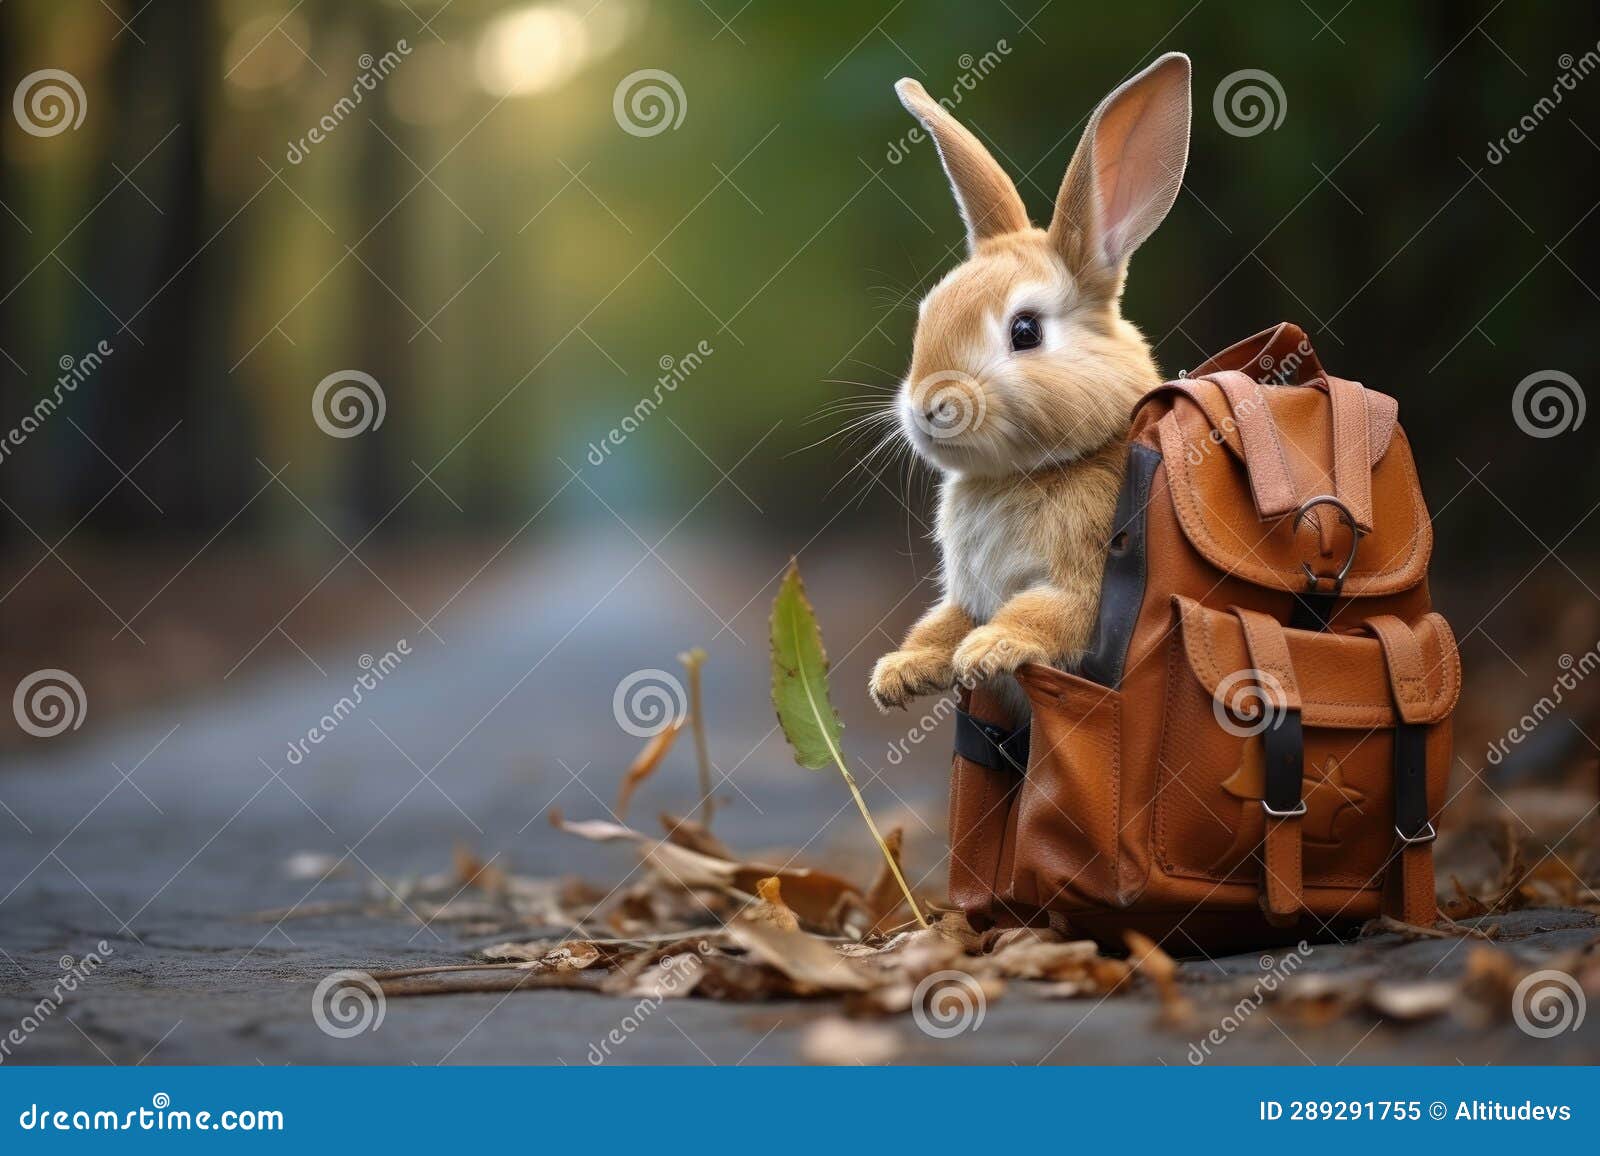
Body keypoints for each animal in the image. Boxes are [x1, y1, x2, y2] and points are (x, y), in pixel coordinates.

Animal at [868, 52, 1192, 725]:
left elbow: (1046, 612)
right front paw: (900, 674)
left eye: (1024, 330)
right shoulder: (964, 596)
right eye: (926, 316)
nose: (929, 406)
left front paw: (989, 651)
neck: (1027, 472)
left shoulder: (1084, 582)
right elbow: (941, 625)